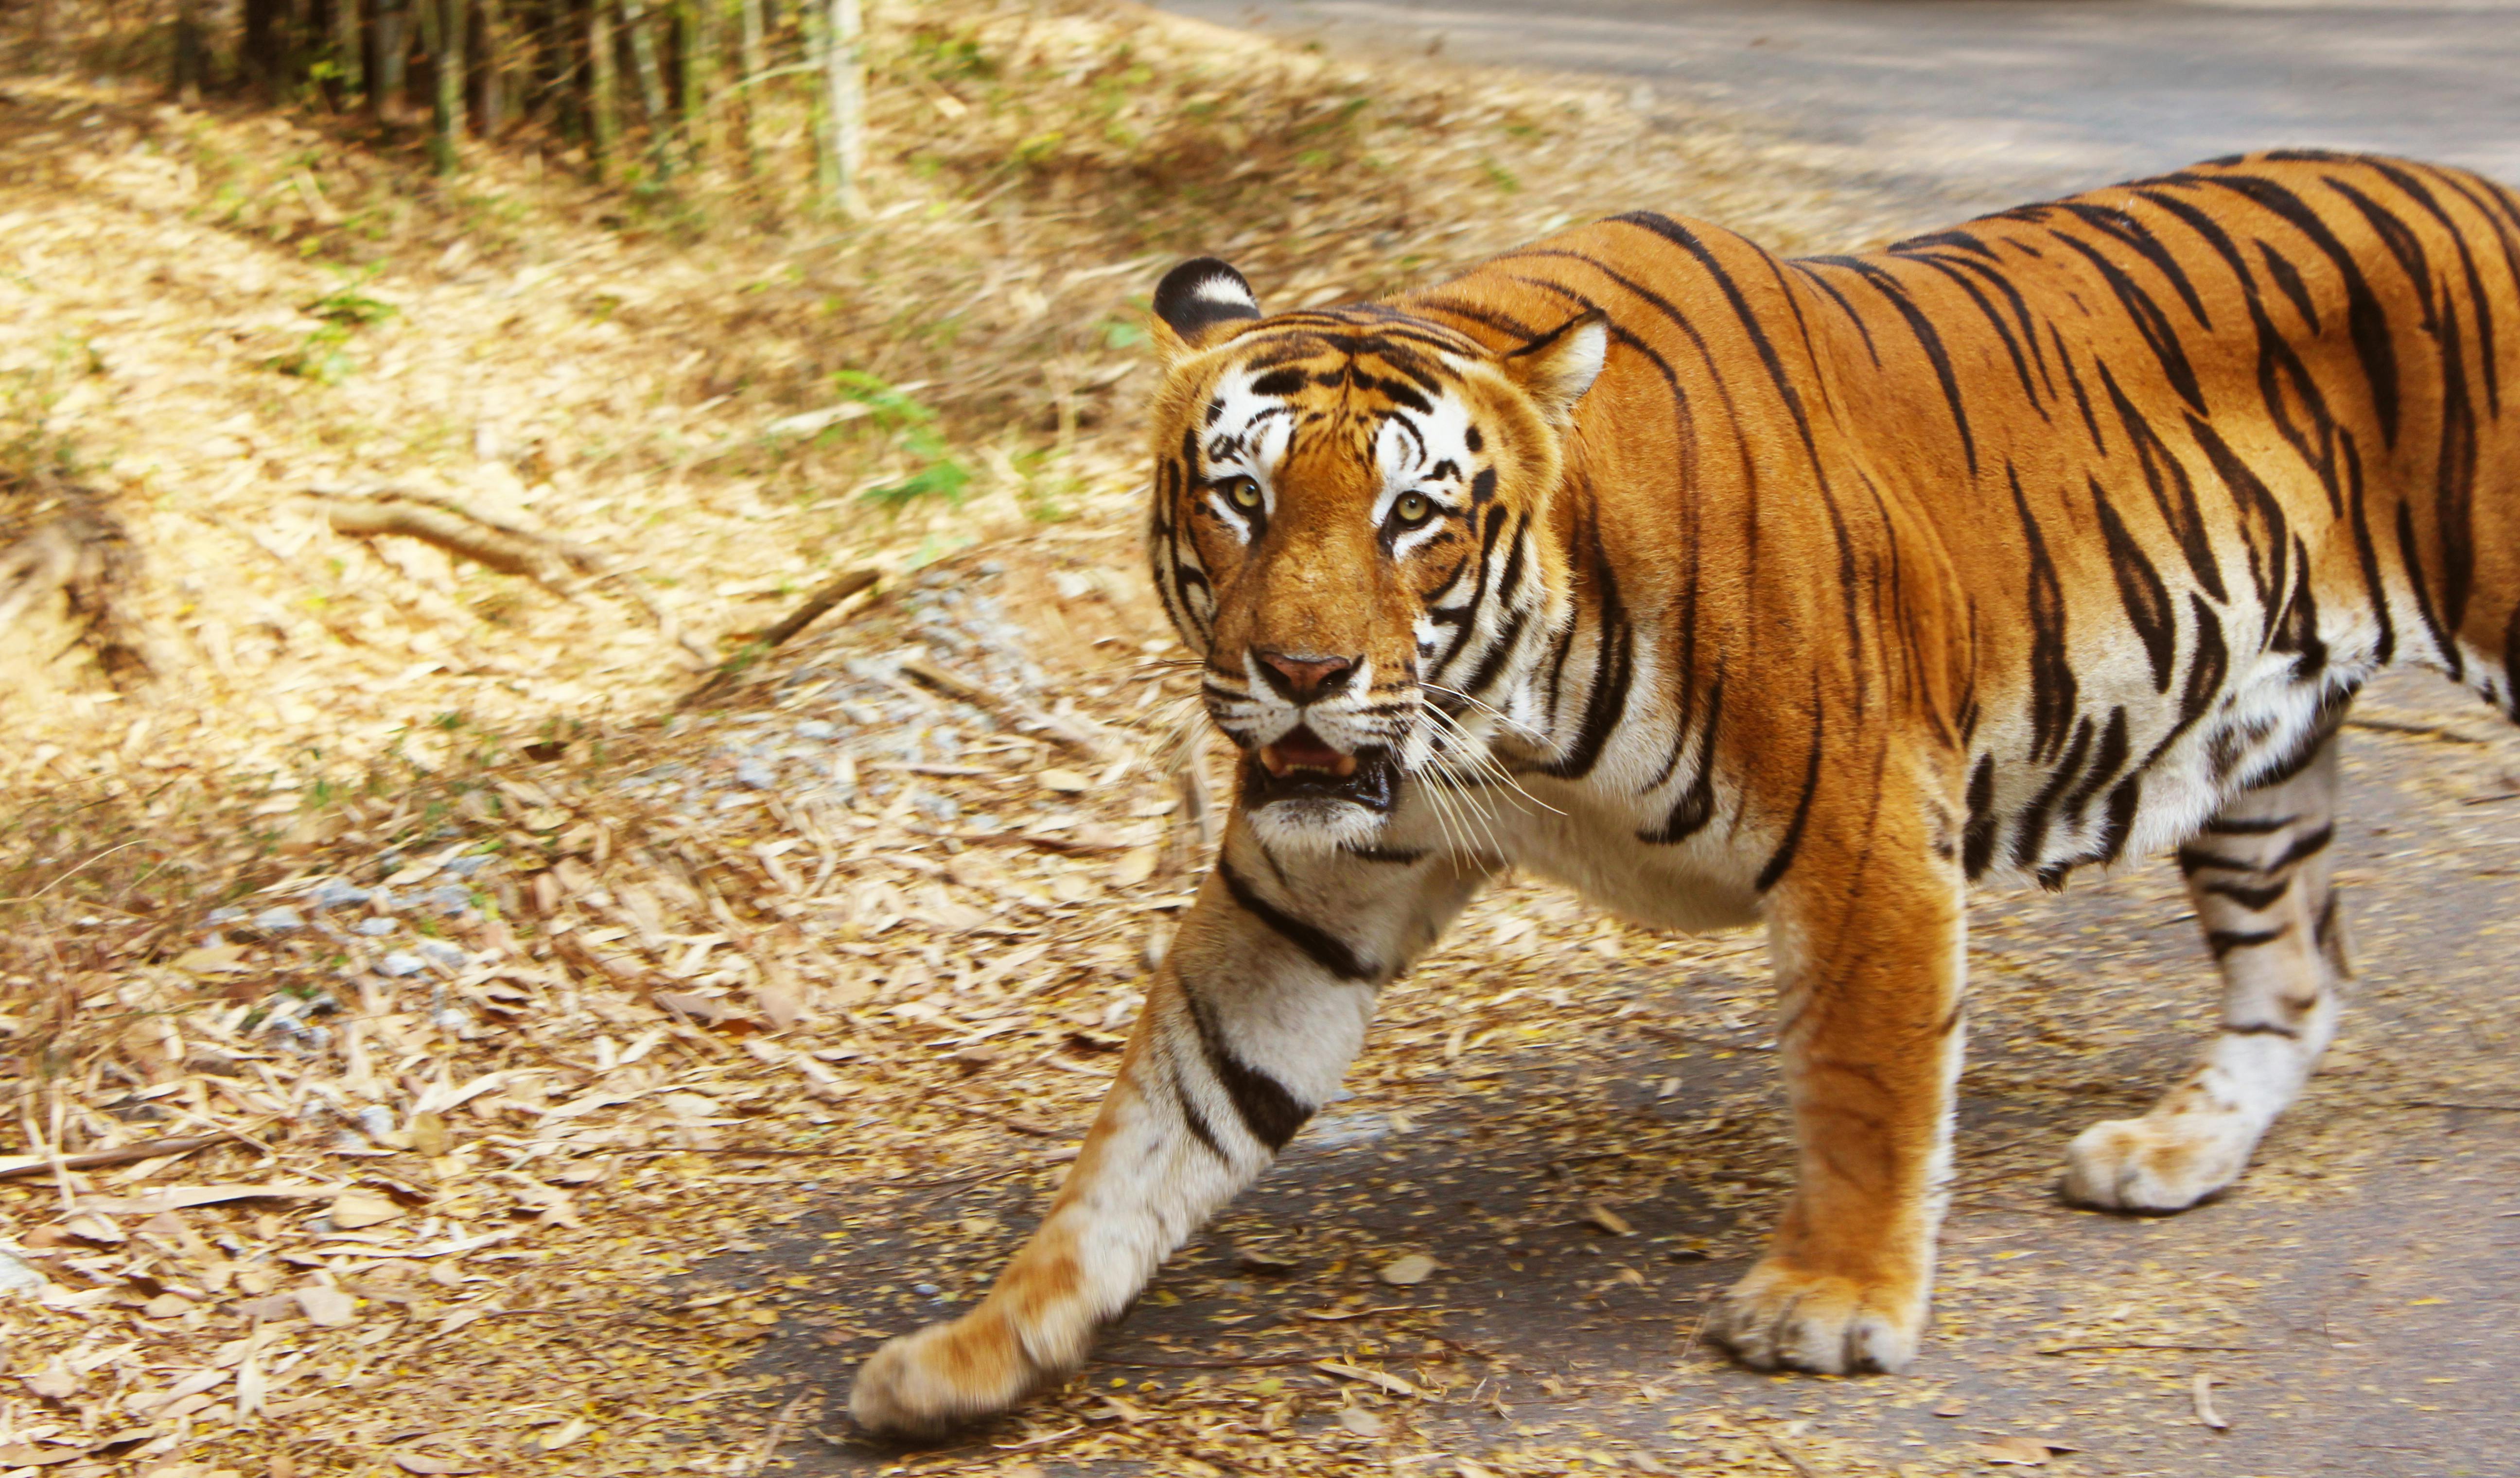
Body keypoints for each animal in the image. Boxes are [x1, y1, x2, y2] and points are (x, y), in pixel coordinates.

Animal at [849, 150, 2520, 1435]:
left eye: (1412, 517)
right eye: (1242, 495)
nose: (1305, 670)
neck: (1503, 715)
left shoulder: (1864, 826)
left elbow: (1867, 1075)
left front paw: (1832, 1301)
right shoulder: (1307, 883)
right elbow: (1165, 1112)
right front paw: (978, 1349)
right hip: (2257, 751)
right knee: (2298, 971)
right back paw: (2173, 1152)